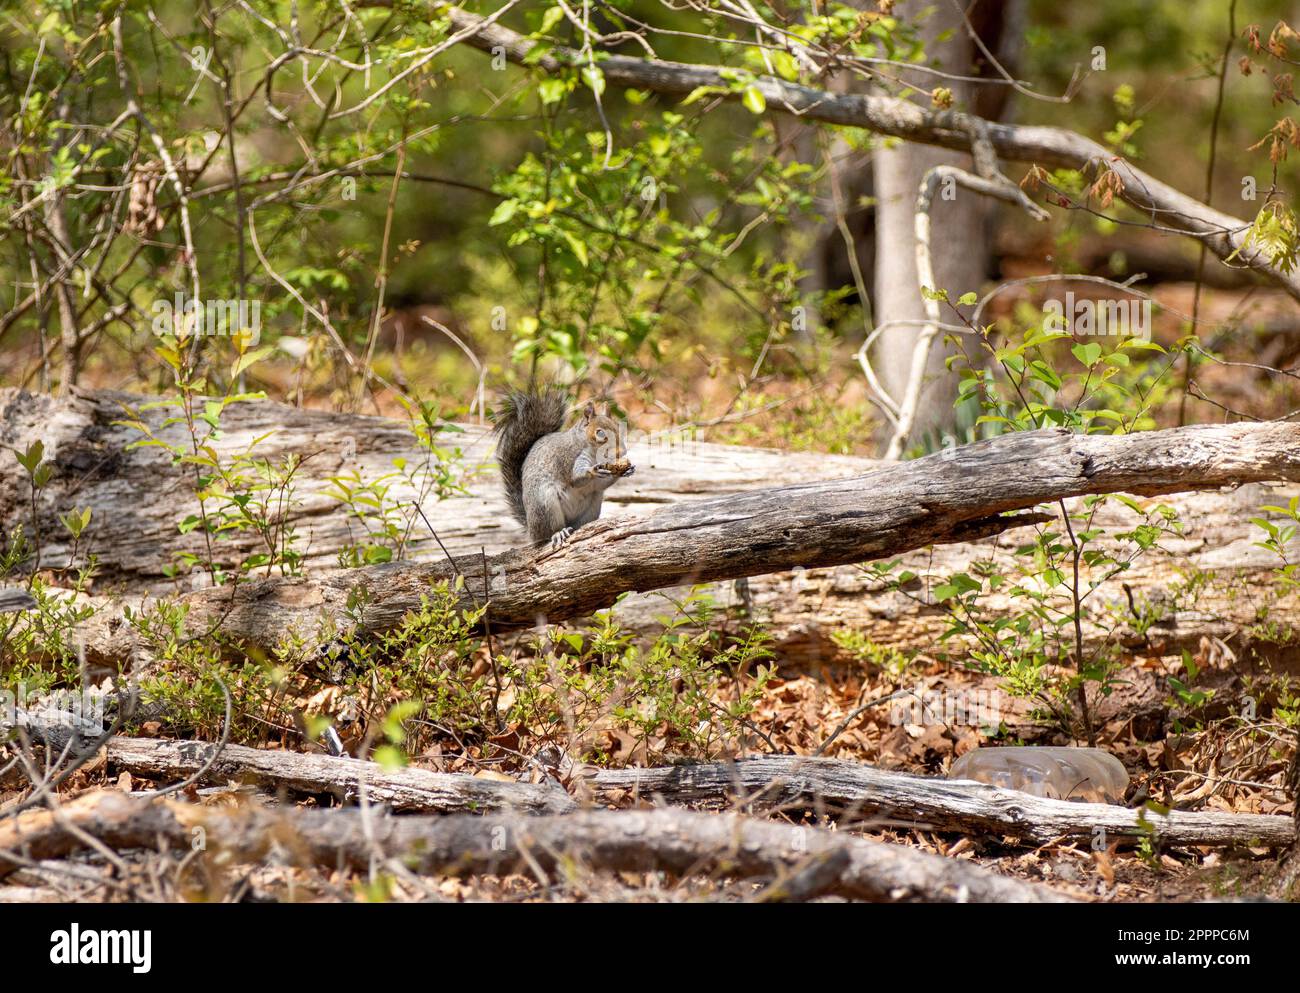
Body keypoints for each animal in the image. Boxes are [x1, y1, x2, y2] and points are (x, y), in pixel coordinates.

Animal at [493, 388, 636, 548]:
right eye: (600, 433)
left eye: (617, 427)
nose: (622, 452)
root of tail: (531, 529)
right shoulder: (566, 458)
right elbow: (576, 479)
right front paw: (594, 470)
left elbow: (600, 484)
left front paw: (626, 470)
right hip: (544, 504)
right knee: (548, 533)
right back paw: (558, 533)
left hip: (593, 505)